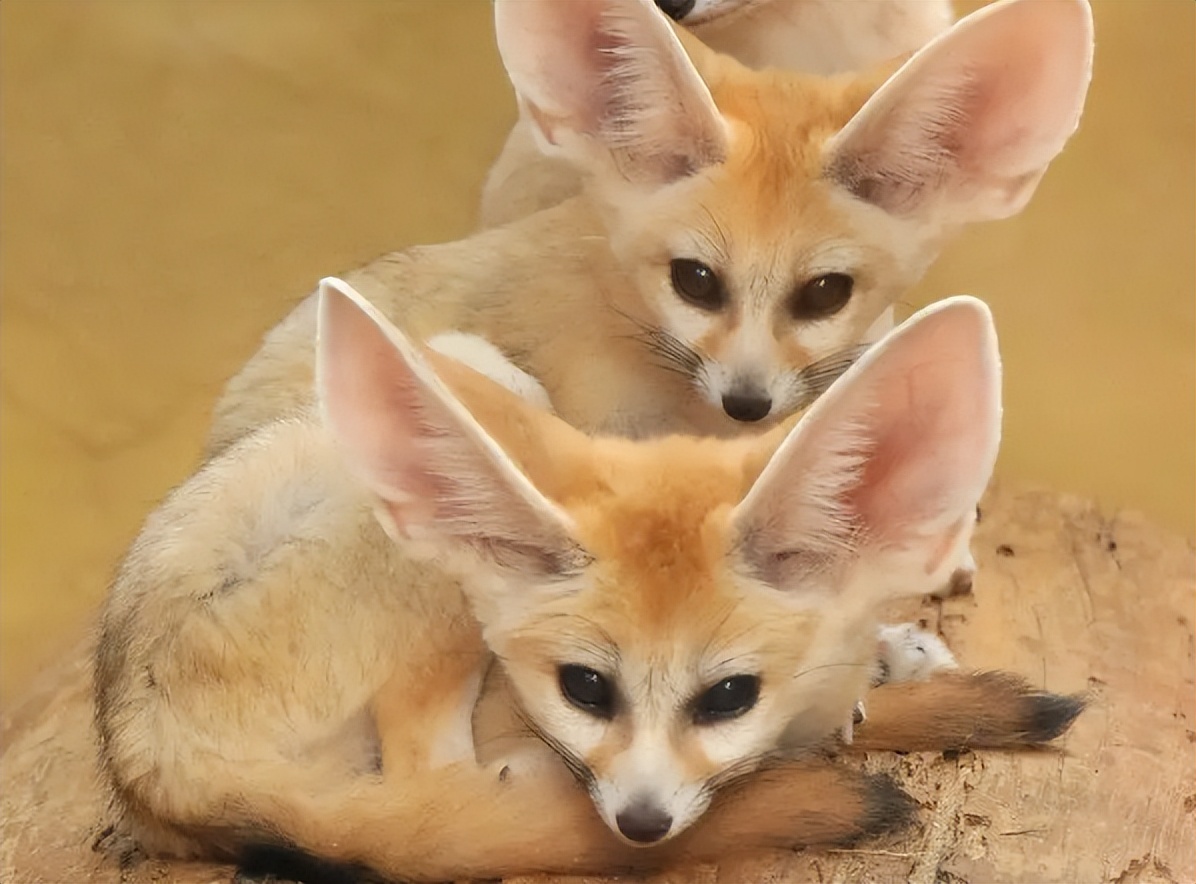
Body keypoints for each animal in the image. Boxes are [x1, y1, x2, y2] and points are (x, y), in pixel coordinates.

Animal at [94, 278, 1084, 881]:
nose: (641, 825)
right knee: (432, 779)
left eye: (728, 695)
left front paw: (891, 659)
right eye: (585, 688)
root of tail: (144, 765)